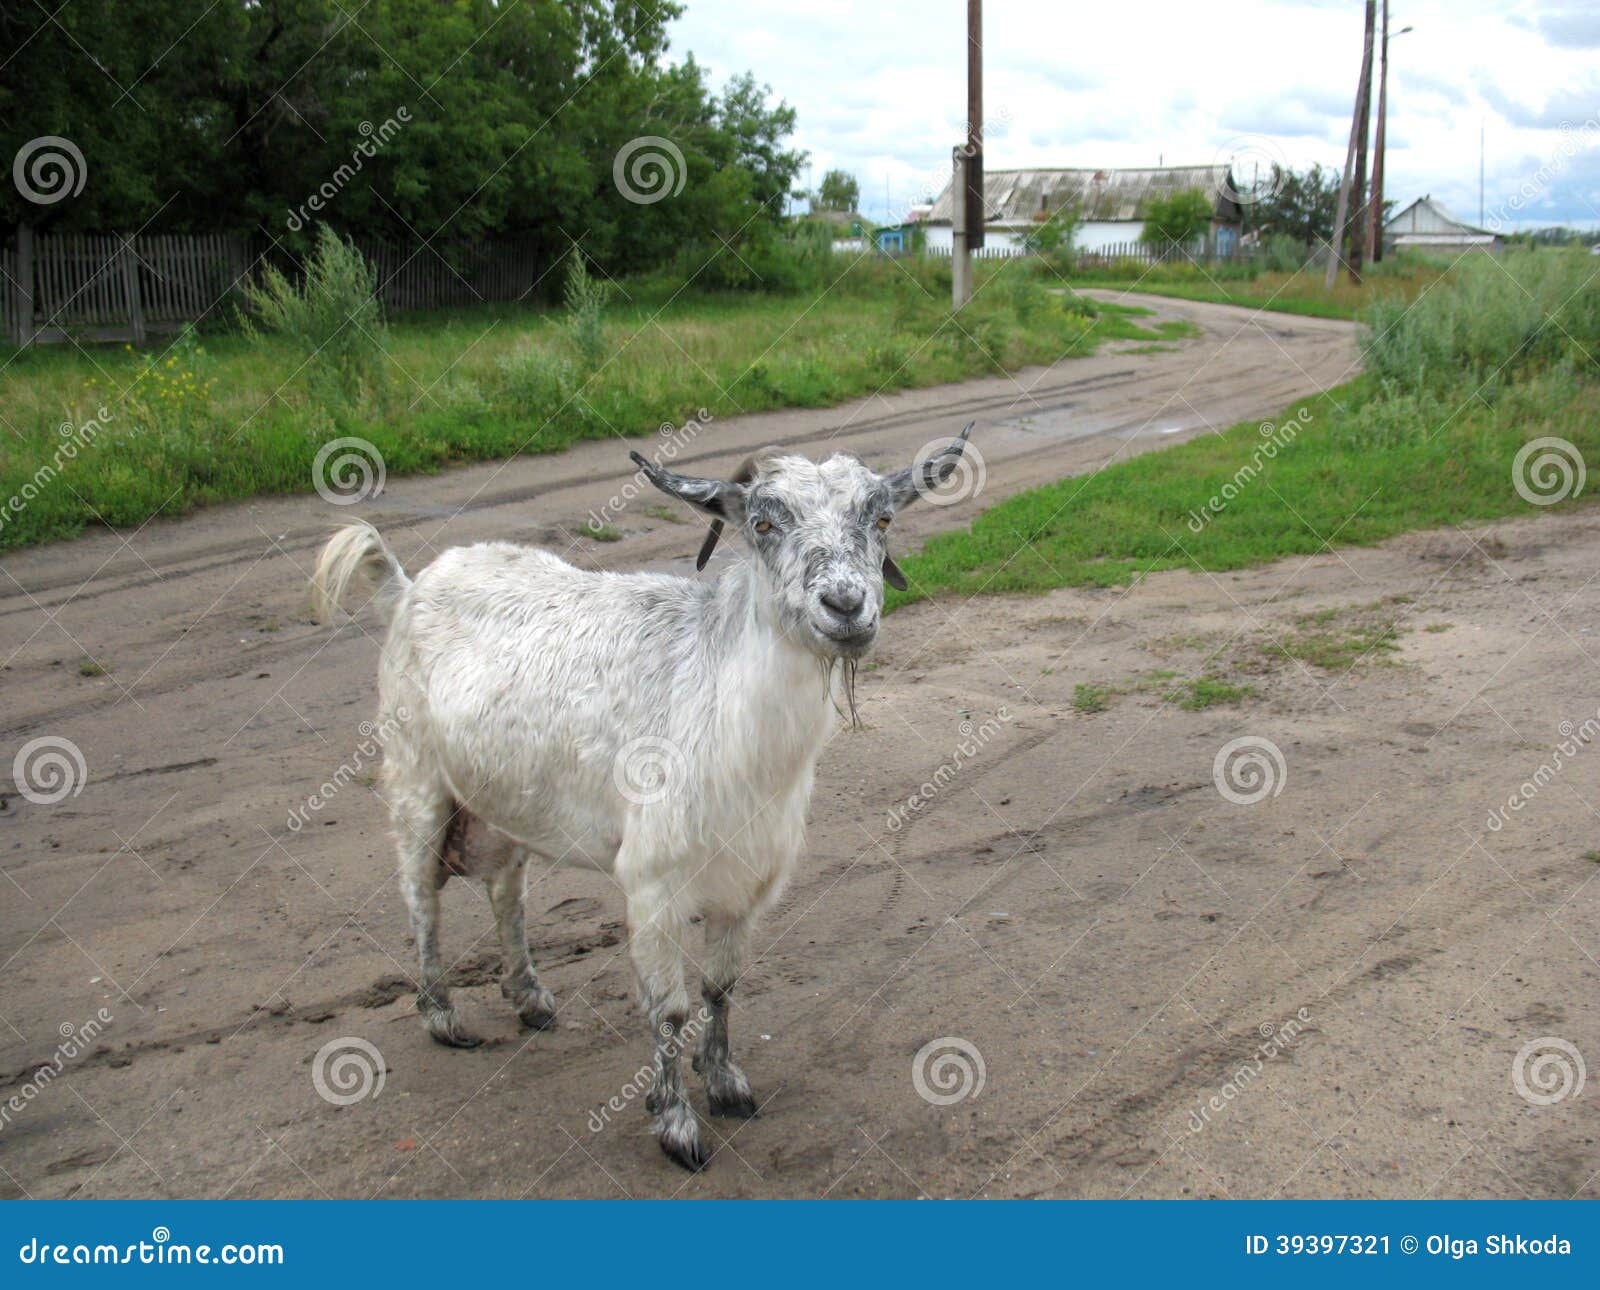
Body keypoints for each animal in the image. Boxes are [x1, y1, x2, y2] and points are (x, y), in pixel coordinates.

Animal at [309, 426, 974, 1170]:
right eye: (764, 523)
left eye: (882, 520)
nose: (846, 607)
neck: (723, 702)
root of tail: (408, 586)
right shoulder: (653, 881)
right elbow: (670, 1009)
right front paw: (676, 1124)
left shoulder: (749, 880)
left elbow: (721, 987)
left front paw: (727, 1085)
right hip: (417, 774)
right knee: (421, 895)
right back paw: (443, 1017)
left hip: (504, 804)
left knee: (506, 892)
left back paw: (530, 999)